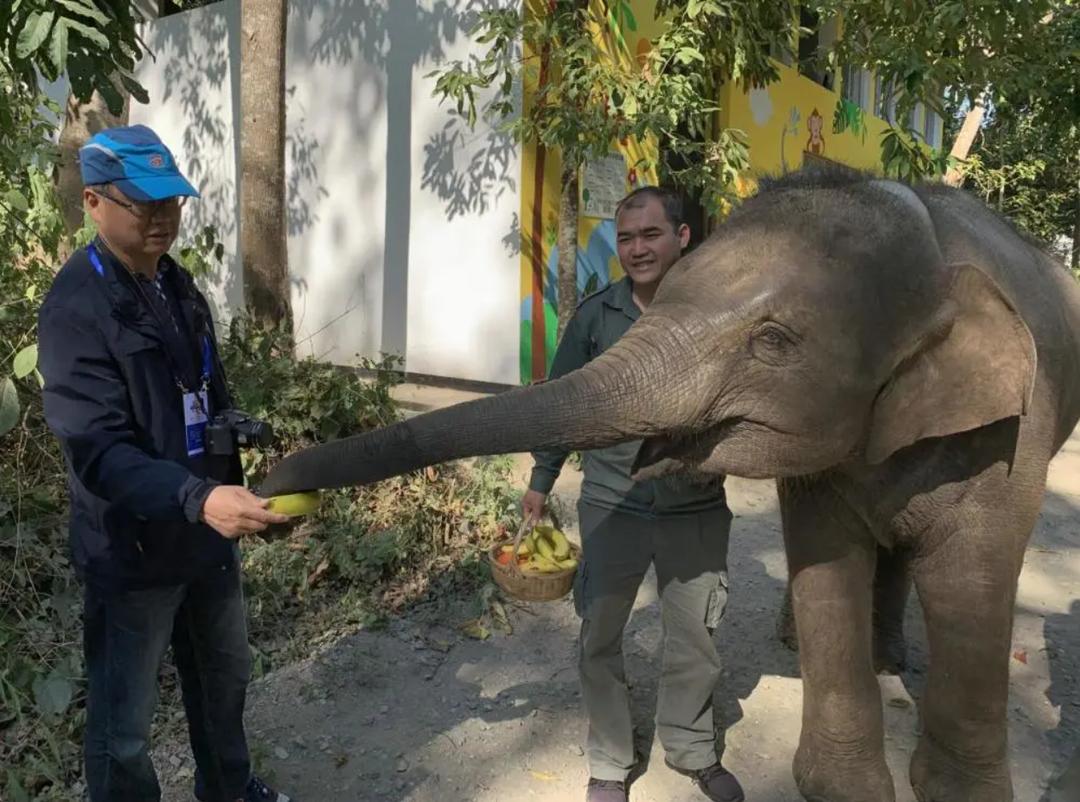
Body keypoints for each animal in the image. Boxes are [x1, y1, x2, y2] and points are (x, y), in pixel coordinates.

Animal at [260, 165, 1080, 802]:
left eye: (773, 341)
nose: (270, 483)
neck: (936, 251)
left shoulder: (1014, 431)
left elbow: (971, 580)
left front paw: (957, 794)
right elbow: (827, 569)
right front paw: (845, 790)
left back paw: (890, 661)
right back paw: (855, 654)